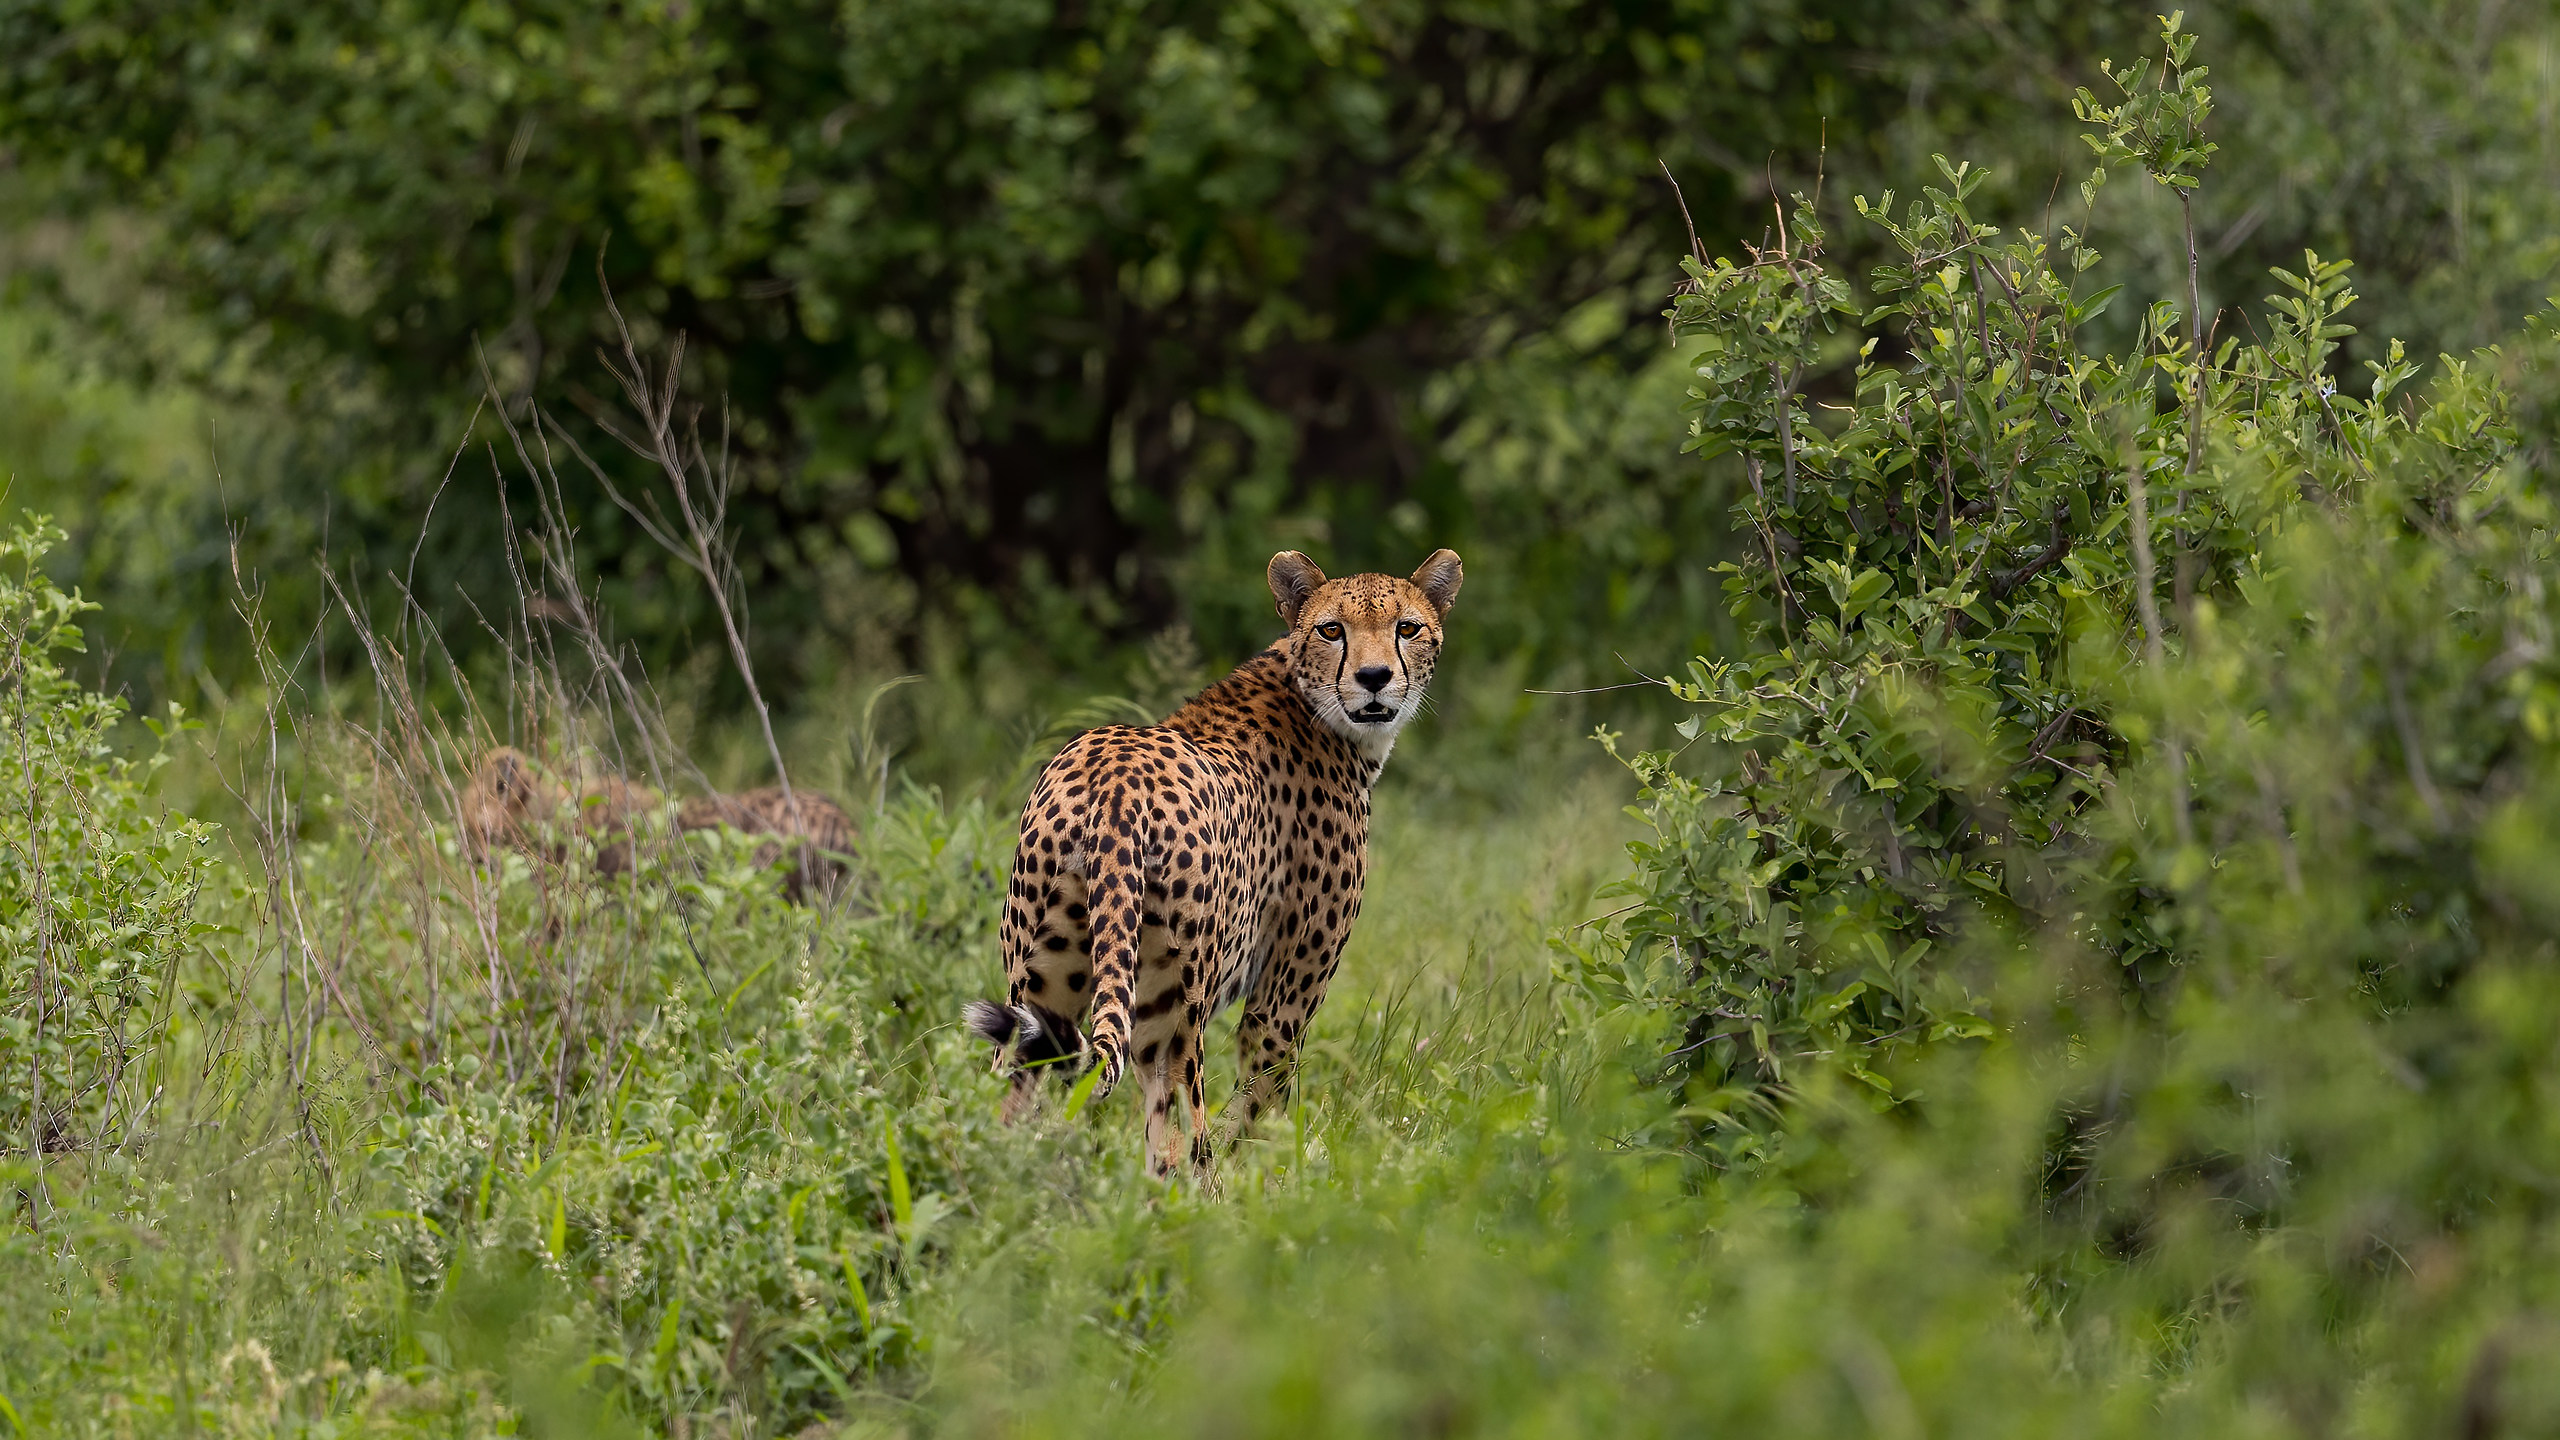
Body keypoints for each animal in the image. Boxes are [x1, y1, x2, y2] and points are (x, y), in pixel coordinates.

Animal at [963, 547, 1463, 1176]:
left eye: (1407, 628)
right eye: (1332, 630)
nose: (1374, 678)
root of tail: (1115, 778)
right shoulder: (1282, 1003)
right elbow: (1260, 1111)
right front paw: (1269, 1187)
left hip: (1037, 991)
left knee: (1007, 1105)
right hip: (1172, 1019)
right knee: (1179, 1143)